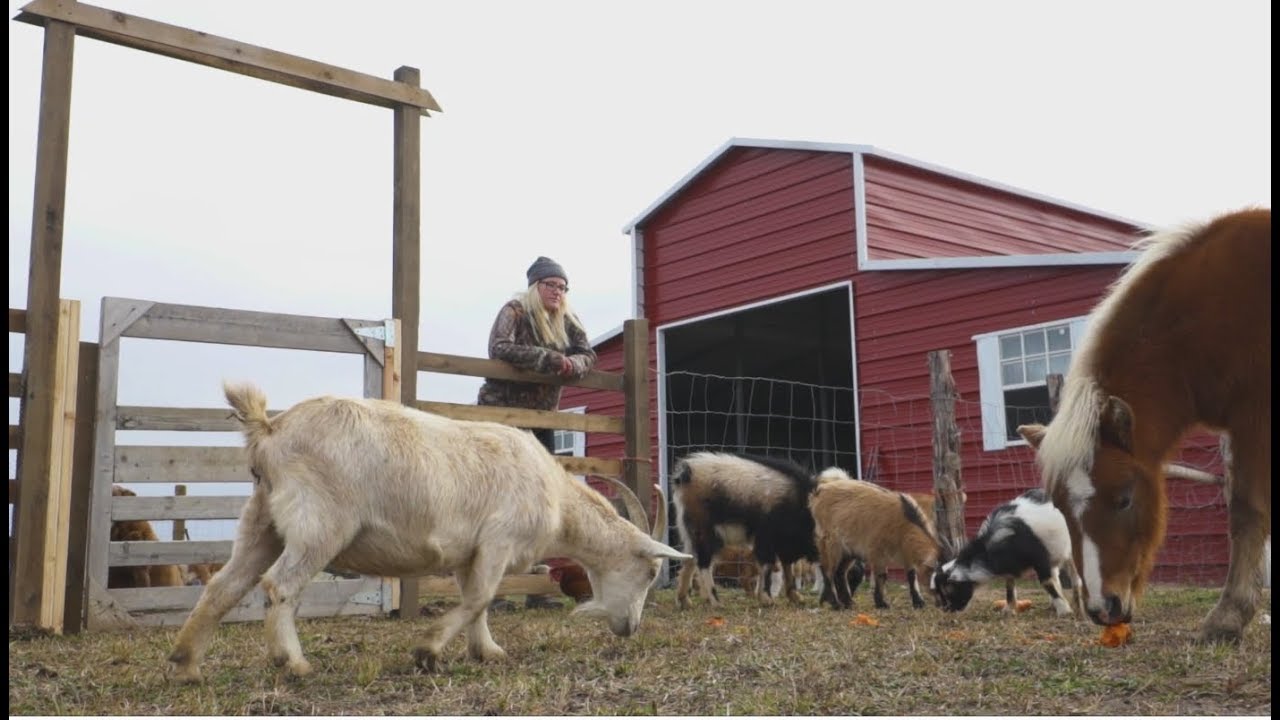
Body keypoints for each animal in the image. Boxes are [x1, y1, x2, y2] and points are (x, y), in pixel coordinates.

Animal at [167, 383, 688, 682]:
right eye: (649, 574)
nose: (629, 628)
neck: (558, 502)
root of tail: (270, 430)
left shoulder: (470, 553)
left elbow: (478, 602)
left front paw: (486, 651)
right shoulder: (500, 539)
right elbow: (480, 599)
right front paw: (427, 651)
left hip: (262, 520)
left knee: (224, 584)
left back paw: (187, 664)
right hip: (321, 521)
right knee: (280, 585)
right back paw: (292, 663)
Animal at [671, 452, 819, 608]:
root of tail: (687, 473)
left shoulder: (783, 542)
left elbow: (786, 565)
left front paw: (795, 597)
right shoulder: (767, 536)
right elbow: (768, 564)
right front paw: (766, 598)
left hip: (691, 532)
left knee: (689, 560)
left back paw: (684, 600)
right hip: (705, 531)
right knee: (703, 563)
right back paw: (716, 601)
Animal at [810, 468, 942, 610]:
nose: (944, 604)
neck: (904, 521)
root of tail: (820, 490)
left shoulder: (906, 551)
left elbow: (912, 575)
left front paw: (918, 602)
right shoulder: (877, 549)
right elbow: (882, 575)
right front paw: (881, 603)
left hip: (848, 550)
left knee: (840, 573)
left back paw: (848, 603)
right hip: (830, 543)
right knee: (827, 571)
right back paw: (835, 603)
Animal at [932, 488, 1082, 617]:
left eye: (949, 591)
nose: (946, 610)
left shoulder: (1039, 558)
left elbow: (1046, 582)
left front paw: (1064, 610)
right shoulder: (1010, 567)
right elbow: (1009, 587)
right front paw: (1008, 610)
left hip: (1069, 550)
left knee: (1075, 577)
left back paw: (1076, 603)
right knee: (1056, 575)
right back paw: (1053, 605)